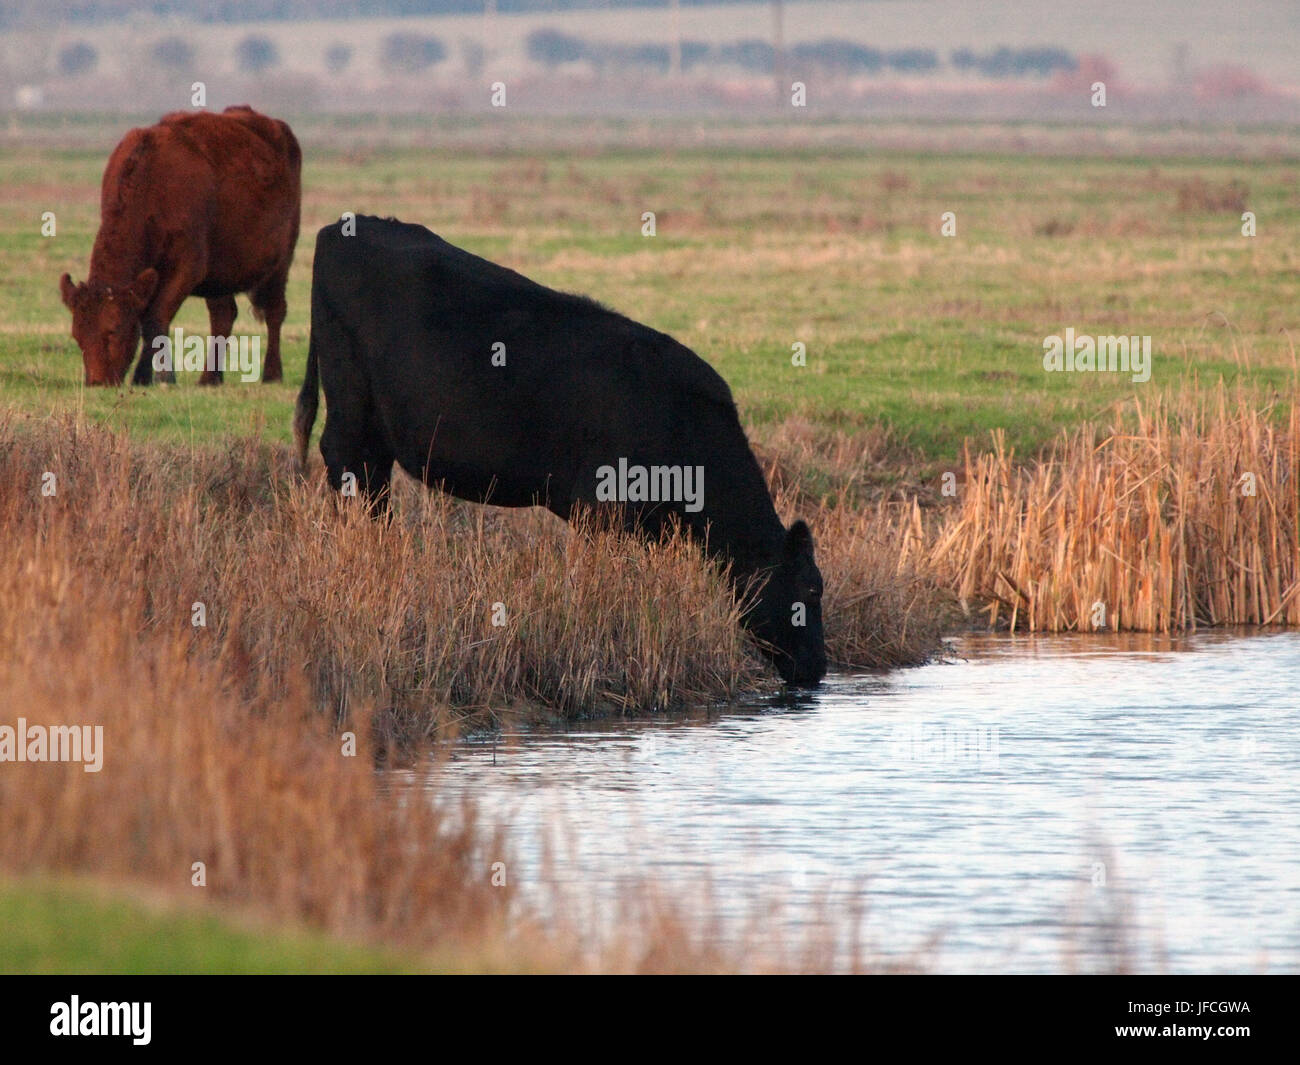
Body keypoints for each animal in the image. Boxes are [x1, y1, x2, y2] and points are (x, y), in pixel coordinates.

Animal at [59, 105, 301, 387]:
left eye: (114, 329)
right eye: (77, 336)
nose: (97, 382)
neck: (152, 183)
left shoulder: (187, 267)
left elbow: (155, 318)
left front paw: (159, 376)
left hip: (280, 262)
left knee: (275, 312)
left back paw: (272, 374)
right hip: (221, 273)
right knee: (223, 316)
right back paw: (210, 378)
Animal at [294, 216, 827, 687]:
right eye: (810, 590)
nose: (819, 670)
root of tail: (346, 224)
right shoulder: (603, 507)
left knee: (372, 479)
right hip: (350, 402)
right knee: (348, 467)